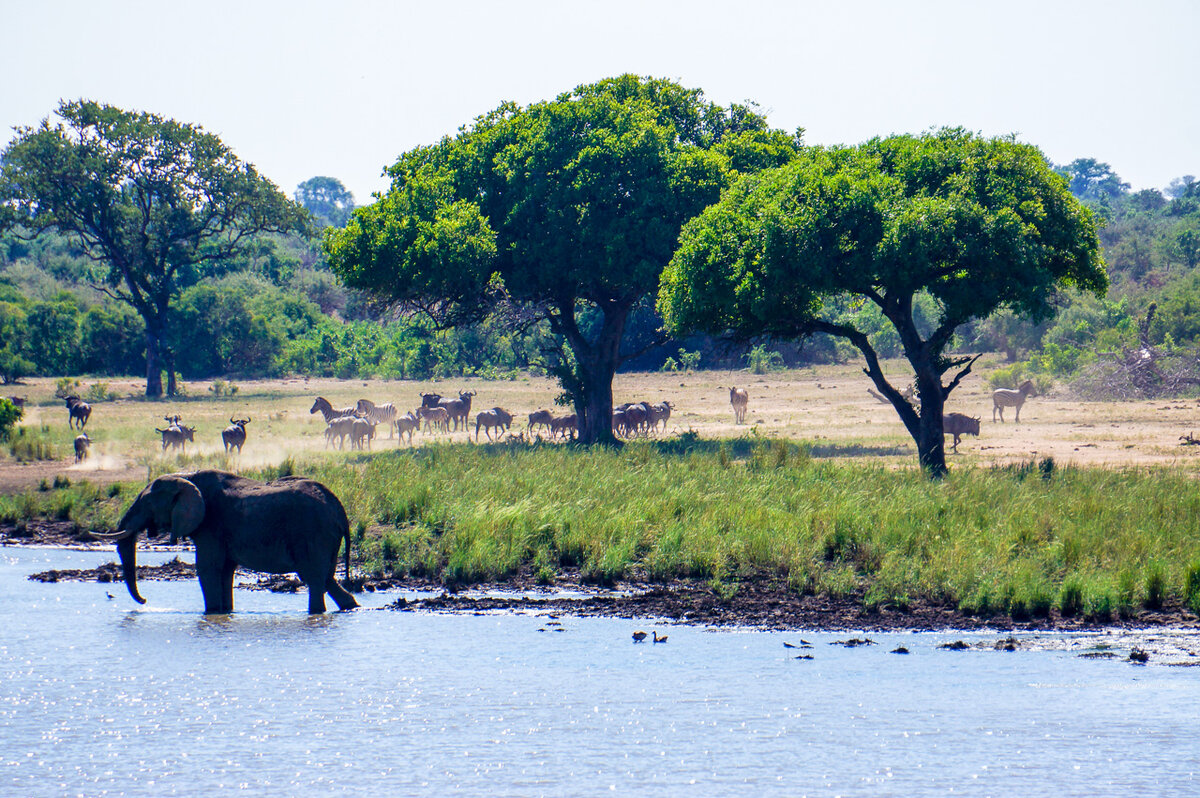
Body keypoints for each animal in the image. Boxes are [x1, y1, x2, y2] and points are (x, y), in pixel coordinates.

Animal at [93, 470, 357, 612]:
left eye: (147, 502)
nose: (145, 601)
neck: (186, 477)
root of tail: (339, 509)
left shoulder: (211, 525)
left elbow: (208, 568)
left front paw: (211, 612)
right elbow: (225, 571)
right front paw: (224, 612)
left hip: (313, 533)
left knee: (314, 579)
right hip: (325, 537)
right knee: (327, 579)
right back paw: (351, 607)